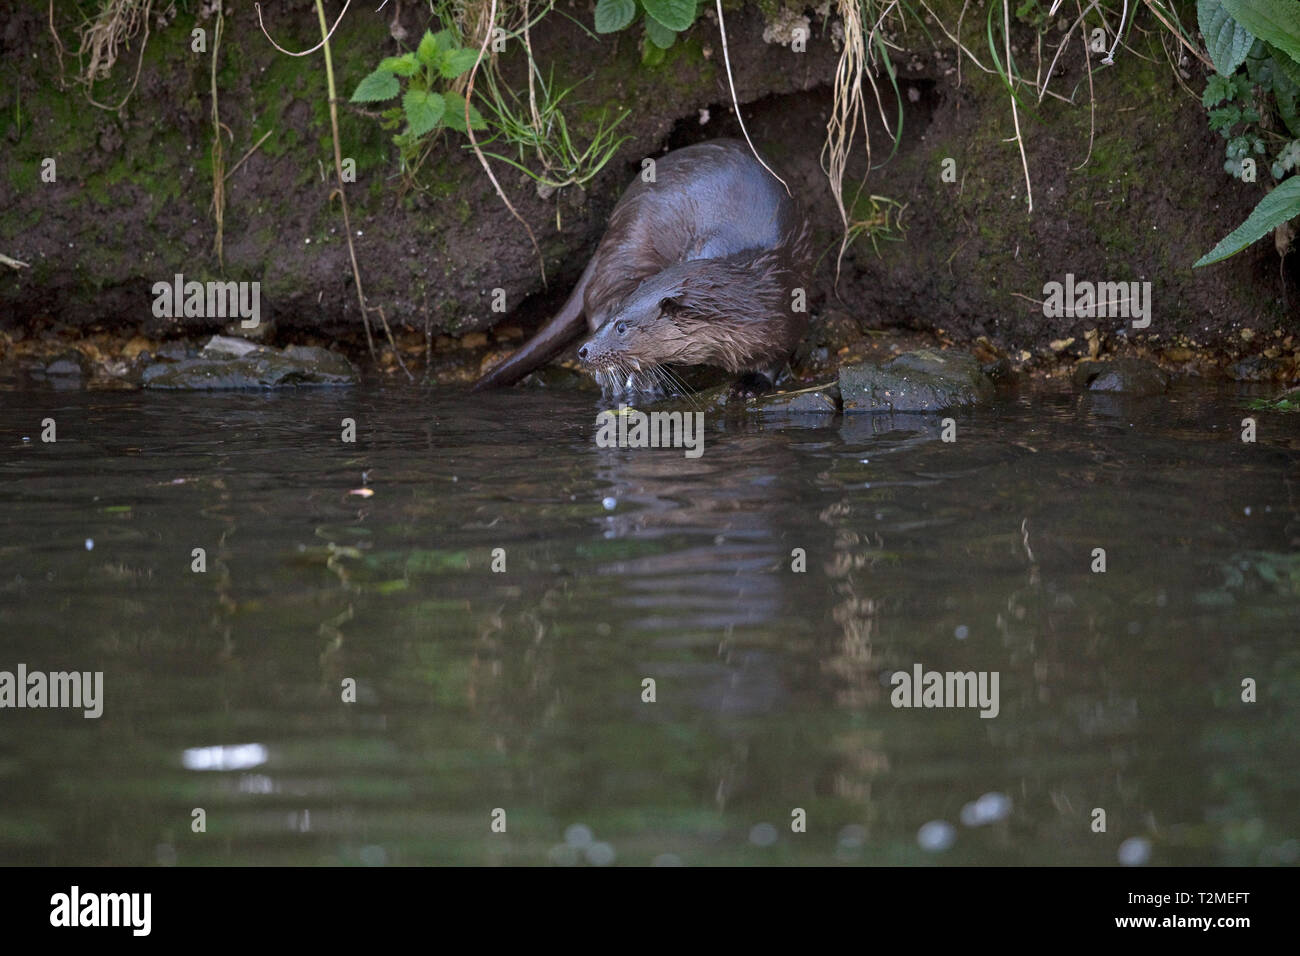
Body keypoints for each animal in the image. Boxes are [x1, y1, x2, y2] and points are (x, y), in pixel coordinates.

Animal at [471, 139, 812, 395]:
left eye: (622, 326)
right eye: (615, 317)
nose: (583, 351)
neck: (756, 292)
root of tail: (616, 218)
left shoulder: (787, 306)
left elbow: (777, 355)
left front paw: (752, 384)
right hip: (628, 245)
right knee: (595, 297)